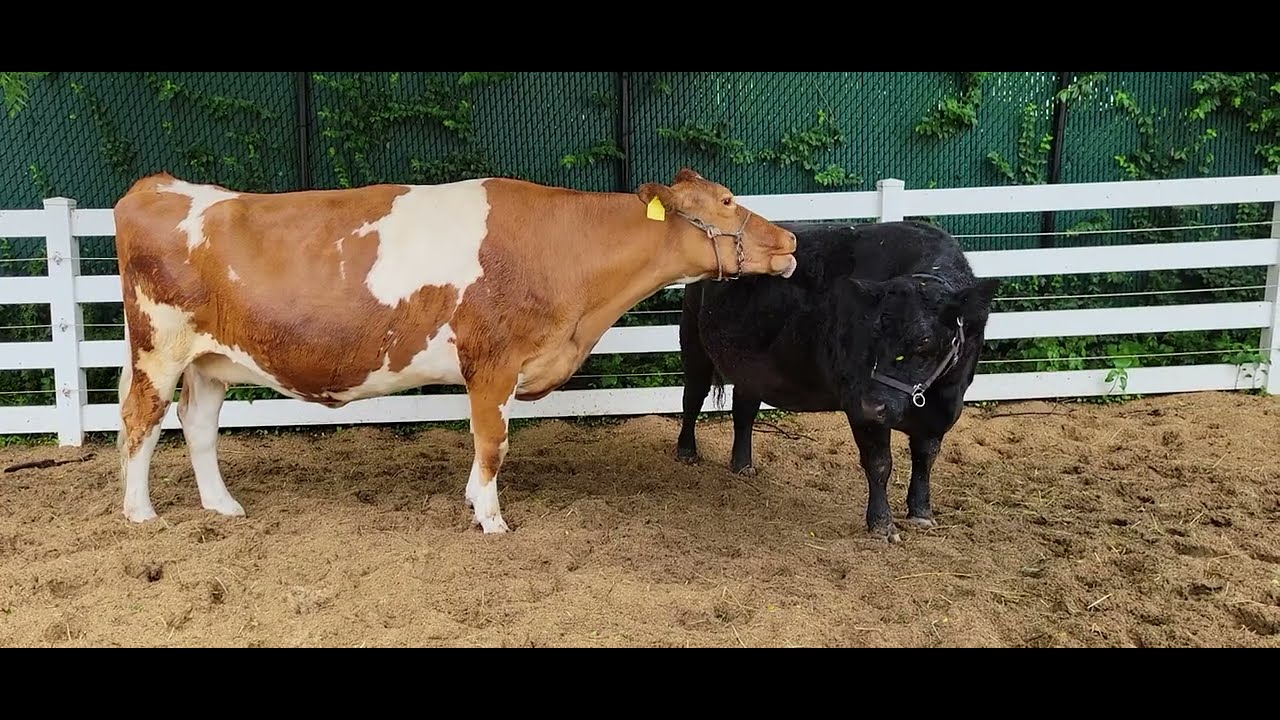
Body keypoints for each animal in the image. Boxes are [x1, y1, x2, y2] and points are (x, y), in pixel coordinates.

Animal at [111, 167, 799, 533]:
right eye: (728, 201)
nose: (791, 239)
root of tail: (158, 186)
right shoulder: (492, 360)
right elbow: (493, 441)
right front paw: (491, 519)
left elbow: (488, 444)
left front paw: (474, 500)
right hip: (159, 347)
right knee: (141, 422)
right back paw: (141, 513)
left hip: (210, 360)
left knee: (198, 426)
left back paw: (223, 506)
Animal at [673, 219, 999, 543]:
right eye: (872, 333)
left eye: (924, 341)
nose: (873, 405)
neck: (934, 396)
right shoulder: (858, 403)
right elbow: (880, 463)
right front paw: (882, 525)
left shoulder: (944, 409)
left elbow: (925, 458)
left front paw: (921, 513)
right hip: (693, 342)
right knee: (692, 398)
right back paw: (687, 452)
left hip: (750, 369)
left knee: (744, 410)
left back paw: (743, 465)